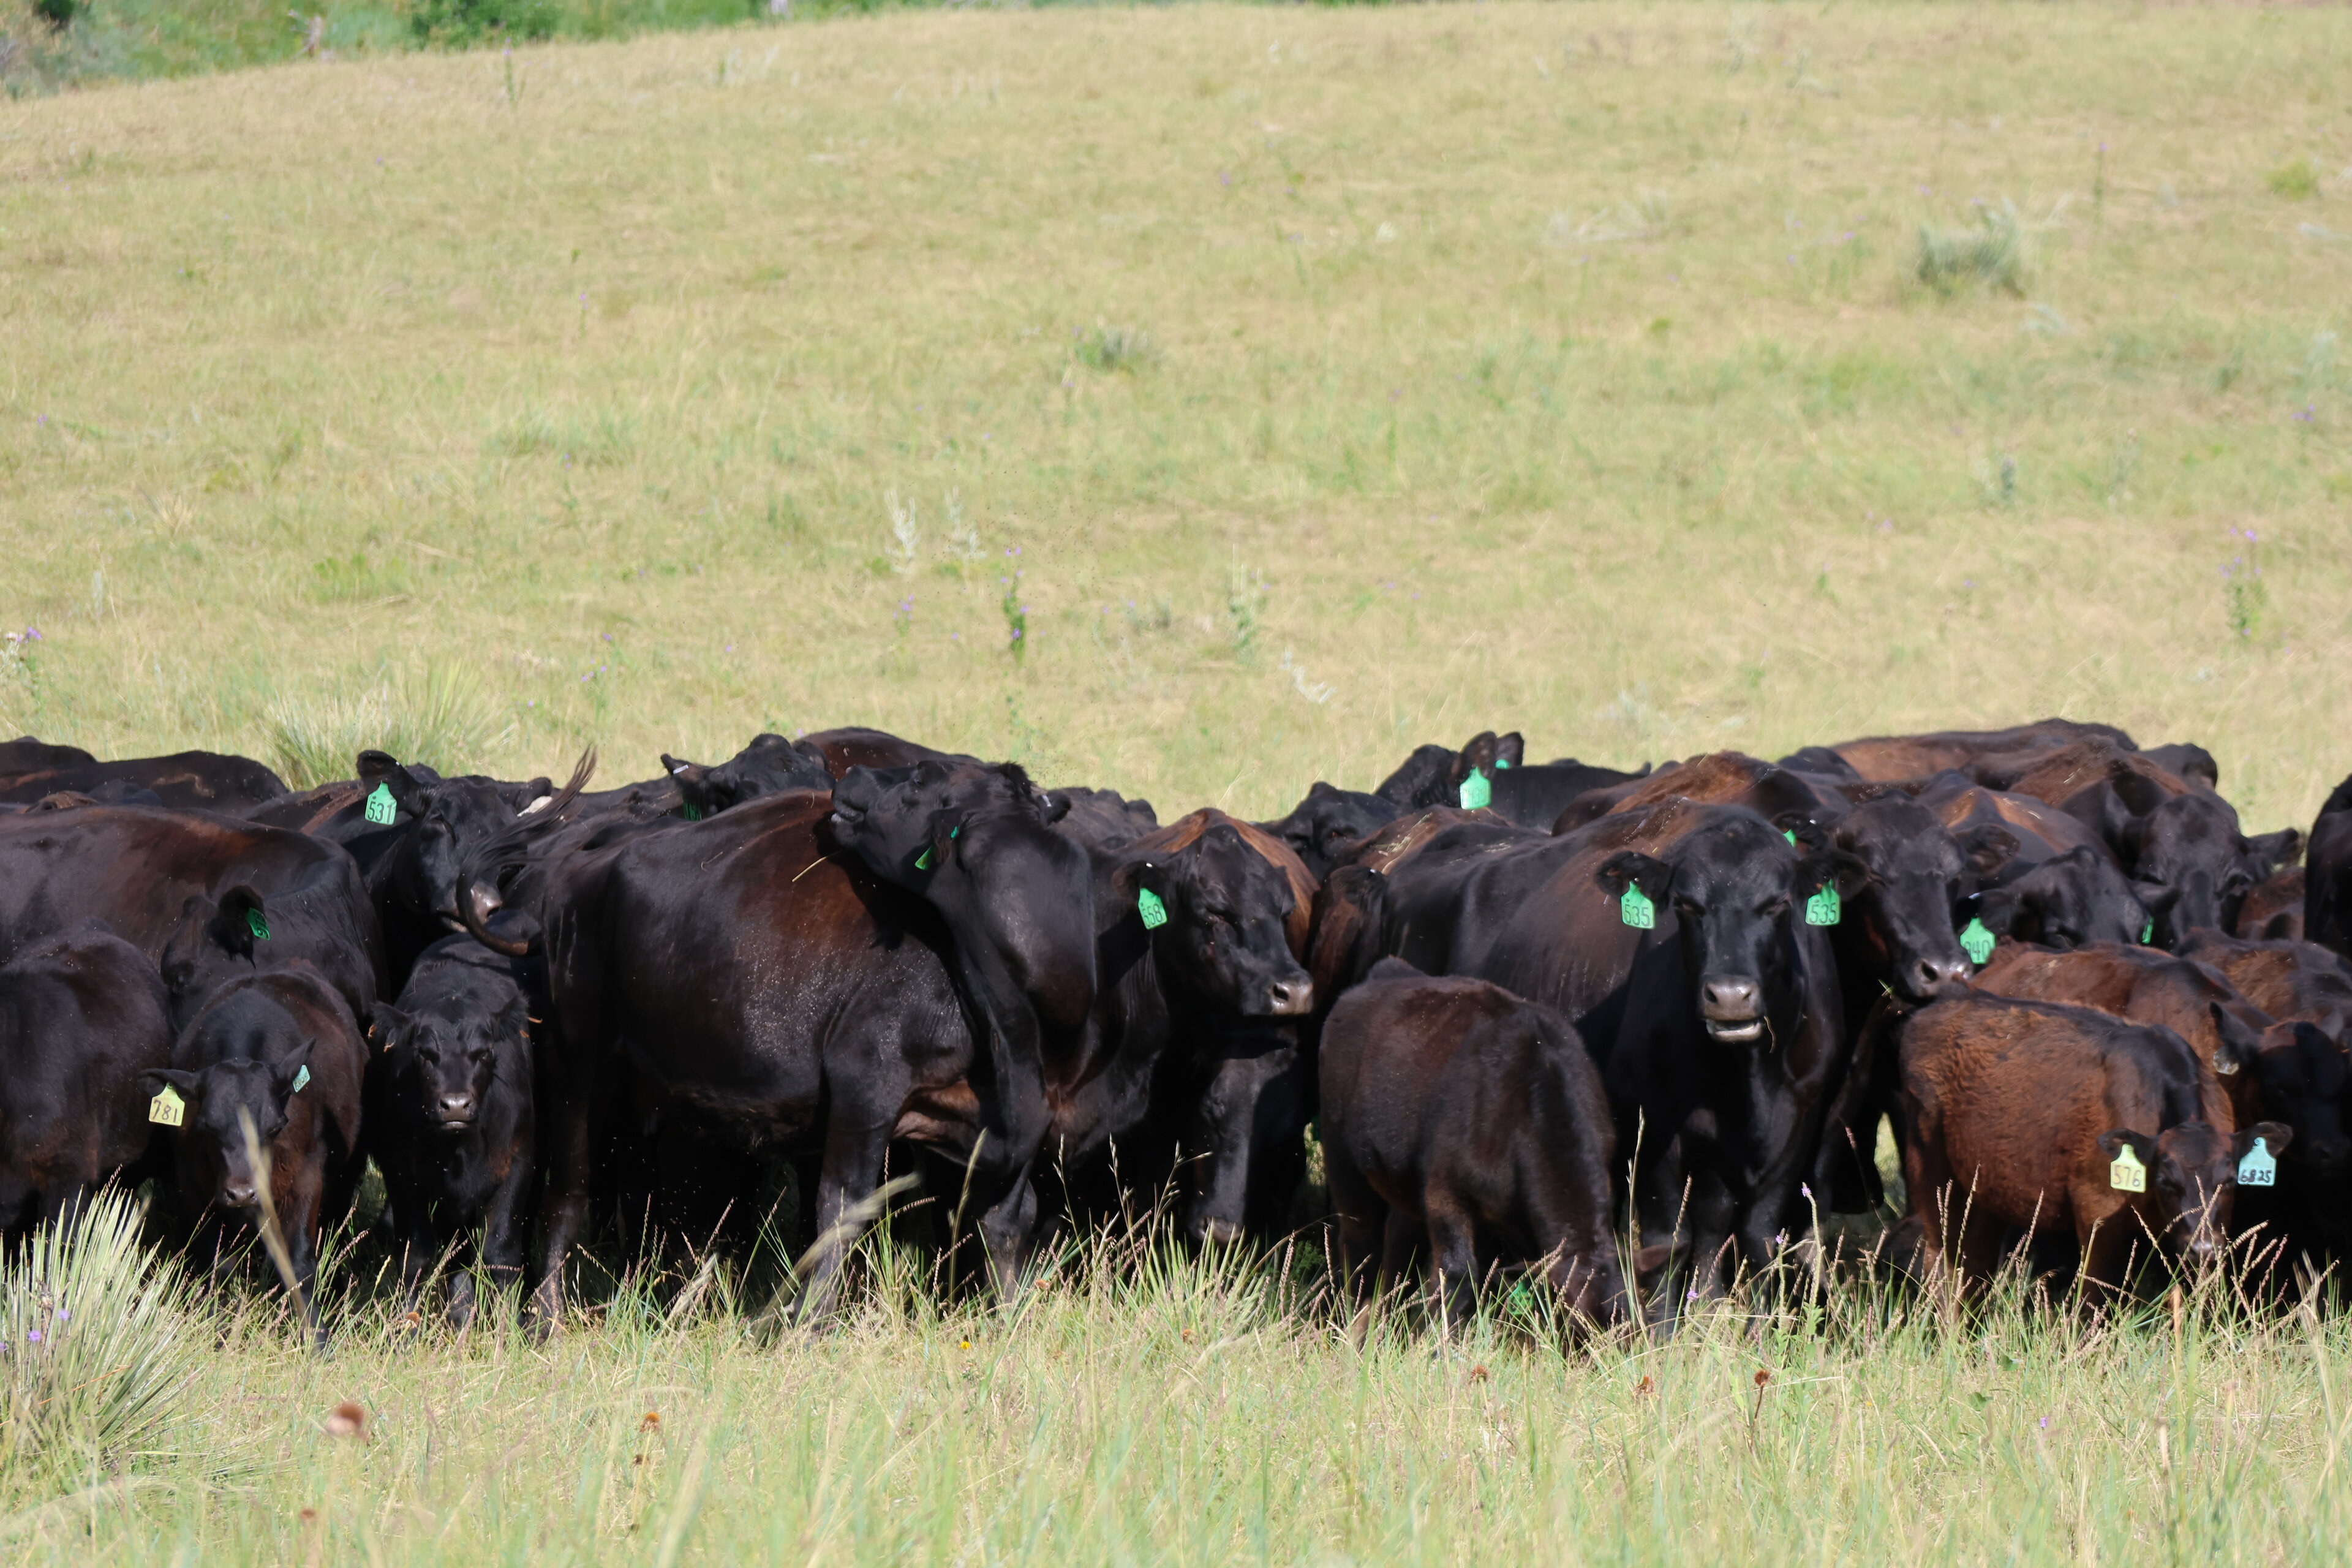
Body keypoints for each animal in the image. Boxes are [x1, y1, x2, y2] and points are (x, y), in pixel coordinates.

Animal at [145, 962, 367, 1345]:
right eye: (208, 1127)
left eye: (276, 1127)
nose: (242, 1193)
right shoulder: (191, 1185)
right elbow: (214, 1260)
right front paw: (214, 1329)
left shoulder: (307, 1176)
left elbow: (299, 1262)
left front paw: (316, 1338)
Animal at [368, 936, 536, 1328]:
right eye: (424, 1053)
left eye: (485, 1051)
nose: (456, 1105)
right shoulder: (400, 1170)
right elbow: (416, 1253)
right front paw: (405, 1330)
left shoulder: (519, 1162)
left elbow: (501, 1253)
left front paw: (508, 1331)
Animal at [1319, 959, 1624, 1331]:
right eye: (1577, 1327)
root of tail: (1387, 971)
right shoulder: (1445, 1192)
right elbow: (1457, 1276)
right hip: (1342, 1160)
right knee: (1359, 1244)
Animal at [1891, 993, 2280, 1297]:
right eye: (2167, 1182)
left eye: (2228, 1183)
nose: (2202, 1247)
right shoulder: (2097, 1214)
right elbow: (2093, 1299)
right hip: (1932, 1178)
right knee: (1941, 1264)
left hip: (1984, 1191)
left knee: (1974, 1266)